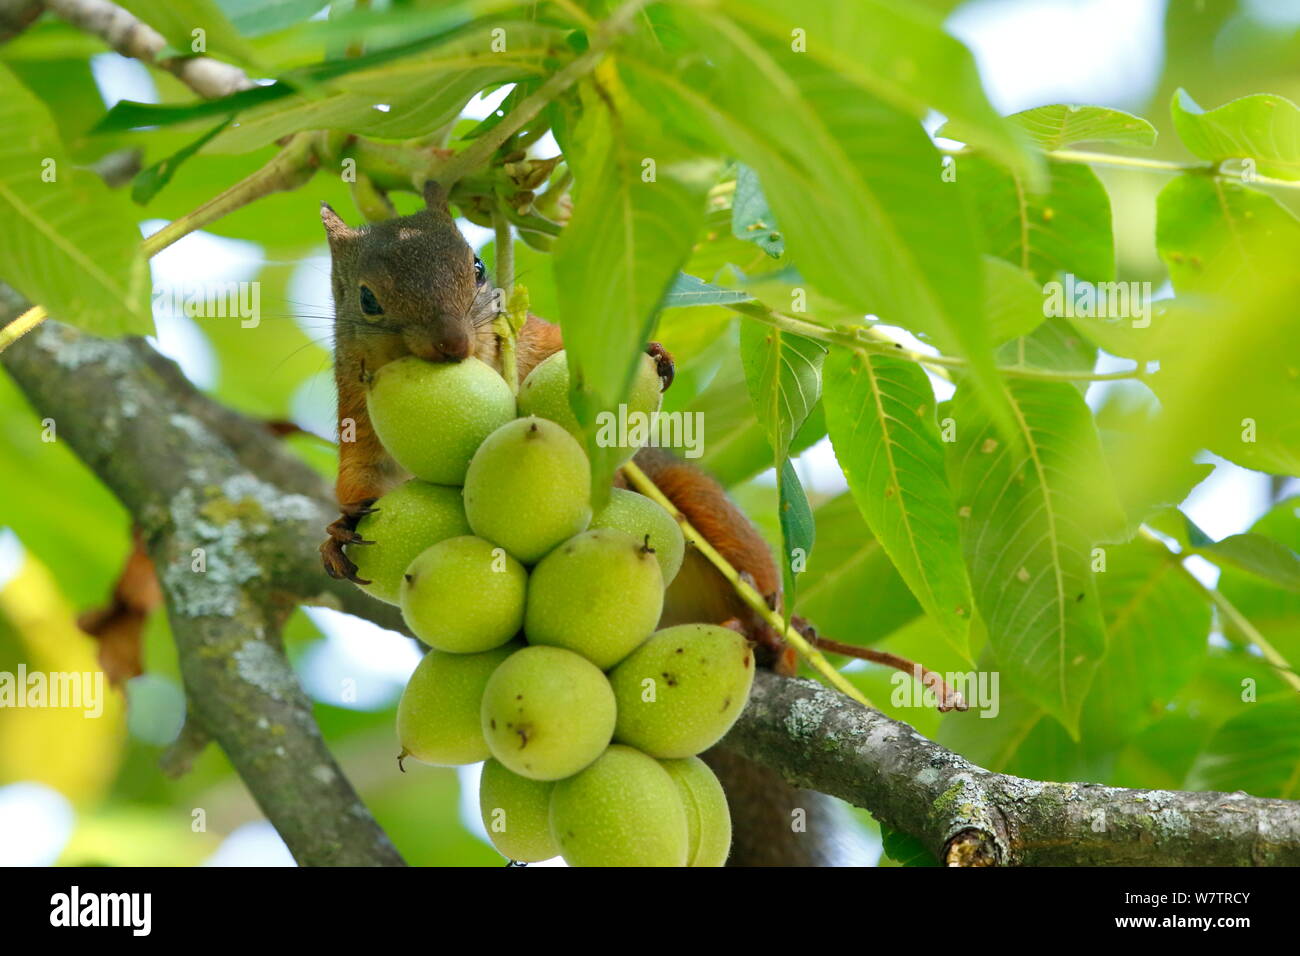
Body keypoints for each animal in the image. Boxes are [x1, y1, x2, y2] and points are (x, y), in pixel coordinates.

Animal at [318, 181, 847, 866]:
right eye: (368, 299)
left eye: (479, 267)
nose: (453, 345)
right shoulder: (354, 404)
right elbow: (358, 473)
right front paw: (337, 531)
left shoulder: (533, 338)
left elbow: (561, 347)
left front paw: (650, 353)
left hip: (701, 509)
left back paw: (776, 633)